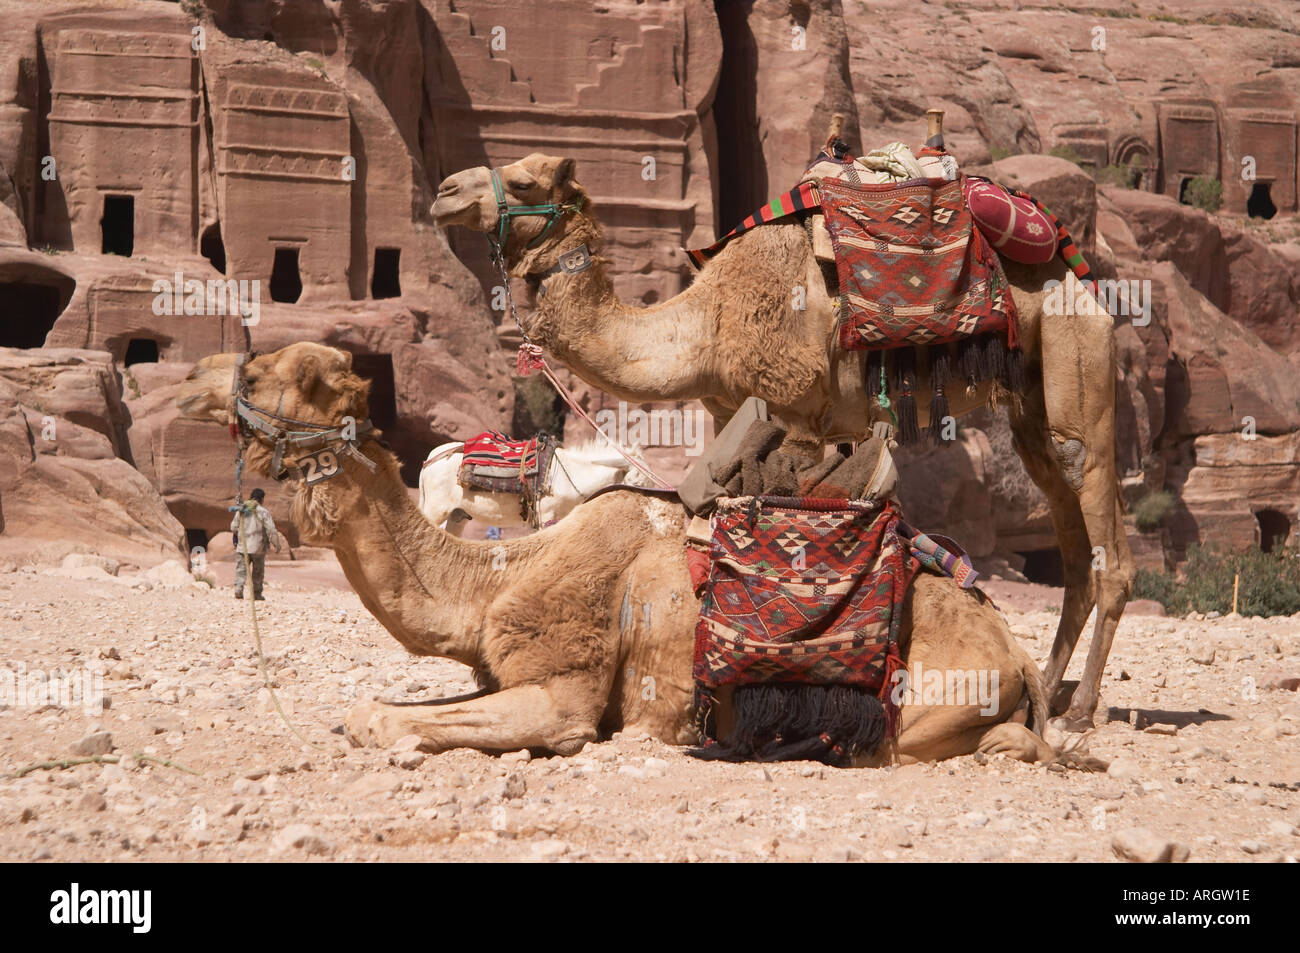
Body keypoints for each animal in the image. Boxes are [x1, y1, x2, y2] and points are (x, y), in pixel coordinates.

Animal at [418, 437, 646, 534]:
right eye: (636, 483)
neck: (570, 473)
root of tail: (430, 458)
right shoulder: (546, 517)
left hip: (456, 516)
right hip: (435, 511)